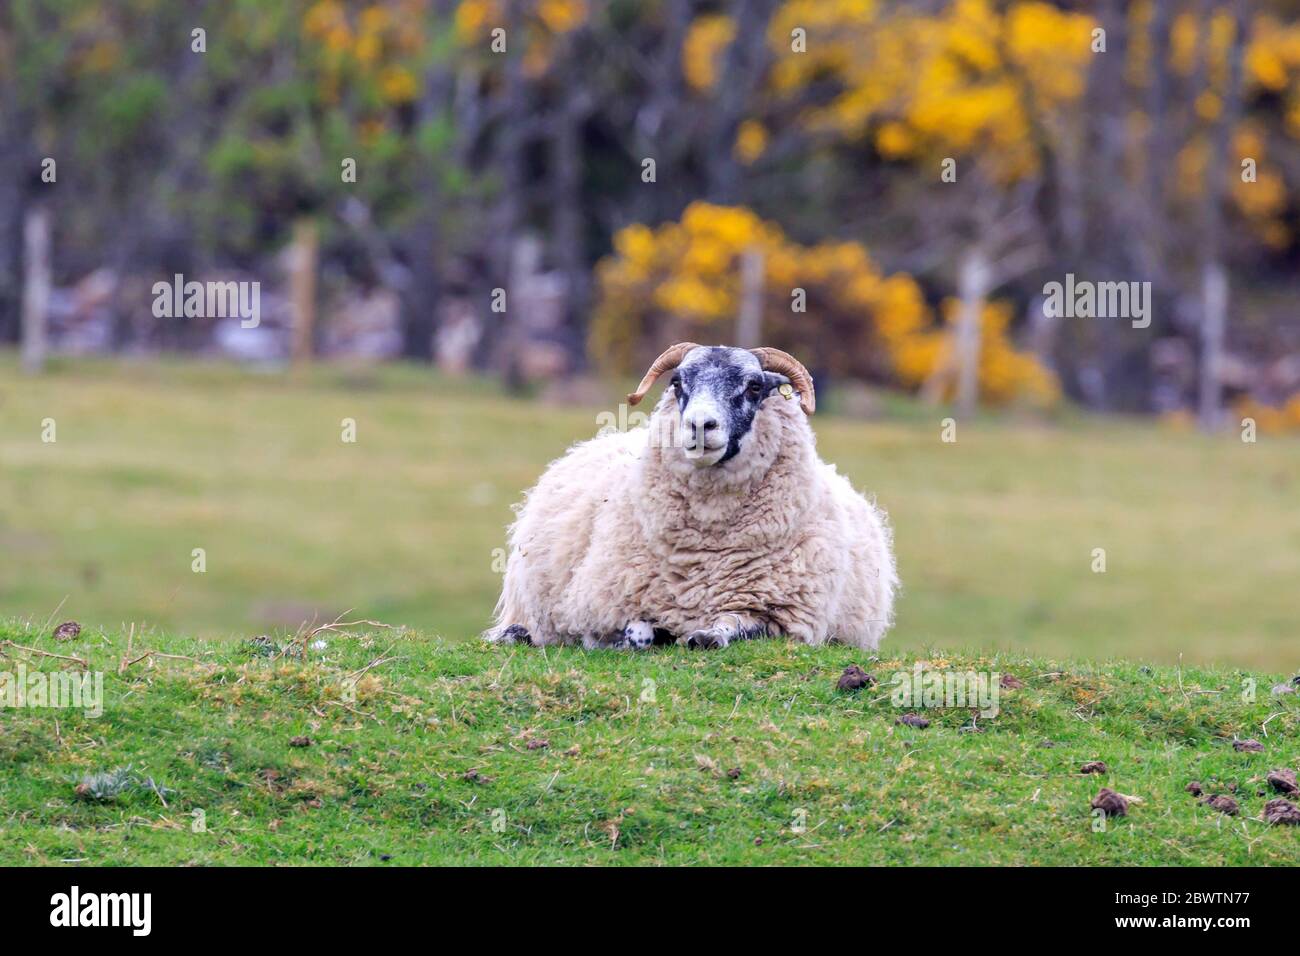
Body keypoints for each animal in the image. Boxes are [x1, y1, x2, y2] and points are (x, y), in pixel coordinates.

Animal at [486, 342, 898, 650]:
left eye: (754, 386)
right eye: (678, 382)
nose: (700, 425)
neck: (706, 551)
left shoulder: (778, 616)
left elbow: (735, 625)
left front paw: (707, 635)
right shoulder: (605, 604)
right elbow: (636, 630)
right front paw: (616, 640)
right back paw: (513, 634)